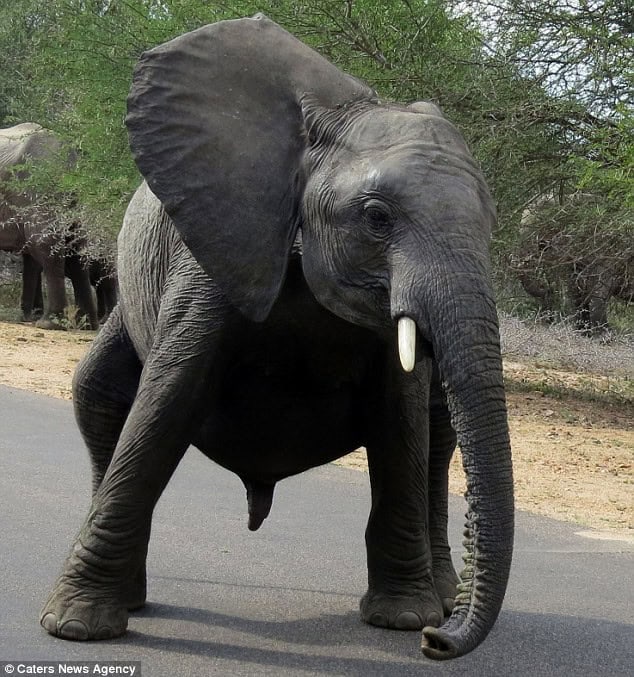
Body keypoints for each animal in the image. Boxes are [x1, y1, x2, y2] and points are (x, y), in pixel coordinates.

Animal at [40, 16, 514, 661]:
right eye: (377, 218)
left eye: (490, 223)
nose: (436, 644)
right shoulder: (215, 246)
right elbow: (166, 403)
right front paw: (76, 627)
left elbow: (401, 421)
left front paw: (404, 618)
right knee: (98, 394)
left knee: (438, 434)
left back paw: (442, 598)